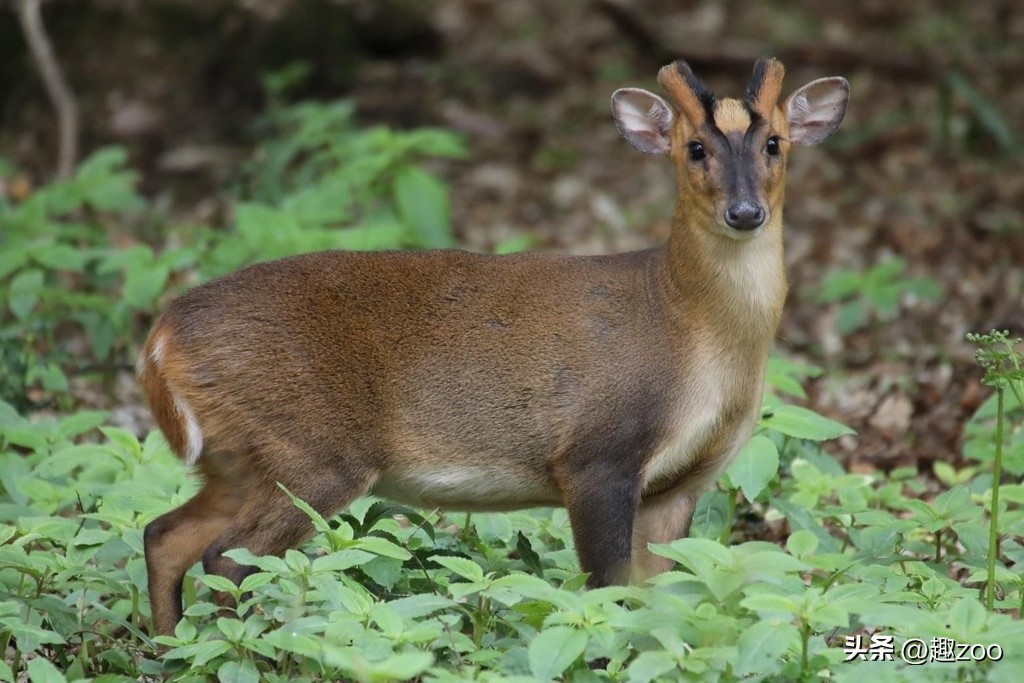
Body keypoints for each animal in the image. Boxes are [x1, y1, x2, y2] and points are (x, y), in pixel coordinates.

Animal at [138, 57, 848, 635]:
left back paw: (168, 651)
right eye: (695, 148)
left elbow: (658, 597)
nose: (745, 212)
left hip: (238, 460)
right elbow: (603, 591)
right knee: (227, 557)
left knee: (164, 534)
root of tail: (161, 338)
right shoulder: (598, 454)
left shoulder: (679, 485)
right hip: (310, 451)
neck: (689, 326)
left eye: (775, 143)